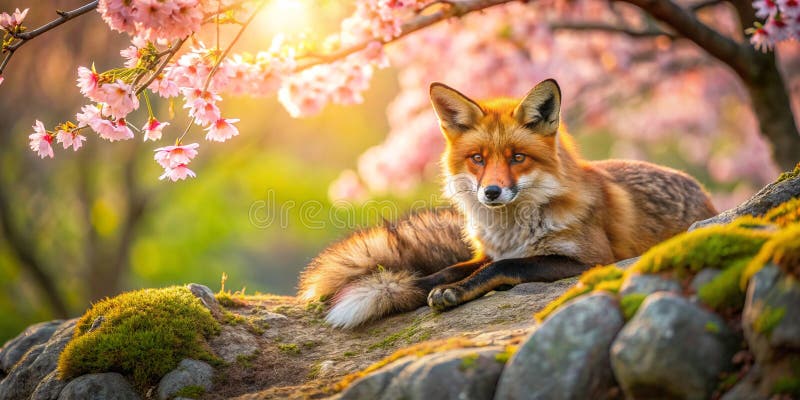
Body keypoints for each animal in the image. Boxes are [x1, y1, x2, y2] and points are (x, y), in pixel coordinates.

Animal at [299, 79, 717, 329]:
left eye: (517, 158)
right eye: (478, 159)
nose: (492, 192)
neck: (512, 230)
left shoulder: (591, 259)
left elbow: (506, 267)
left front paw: (457, 291)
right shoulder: (486, 252)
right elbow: (448, 269)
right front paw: (409, 286)